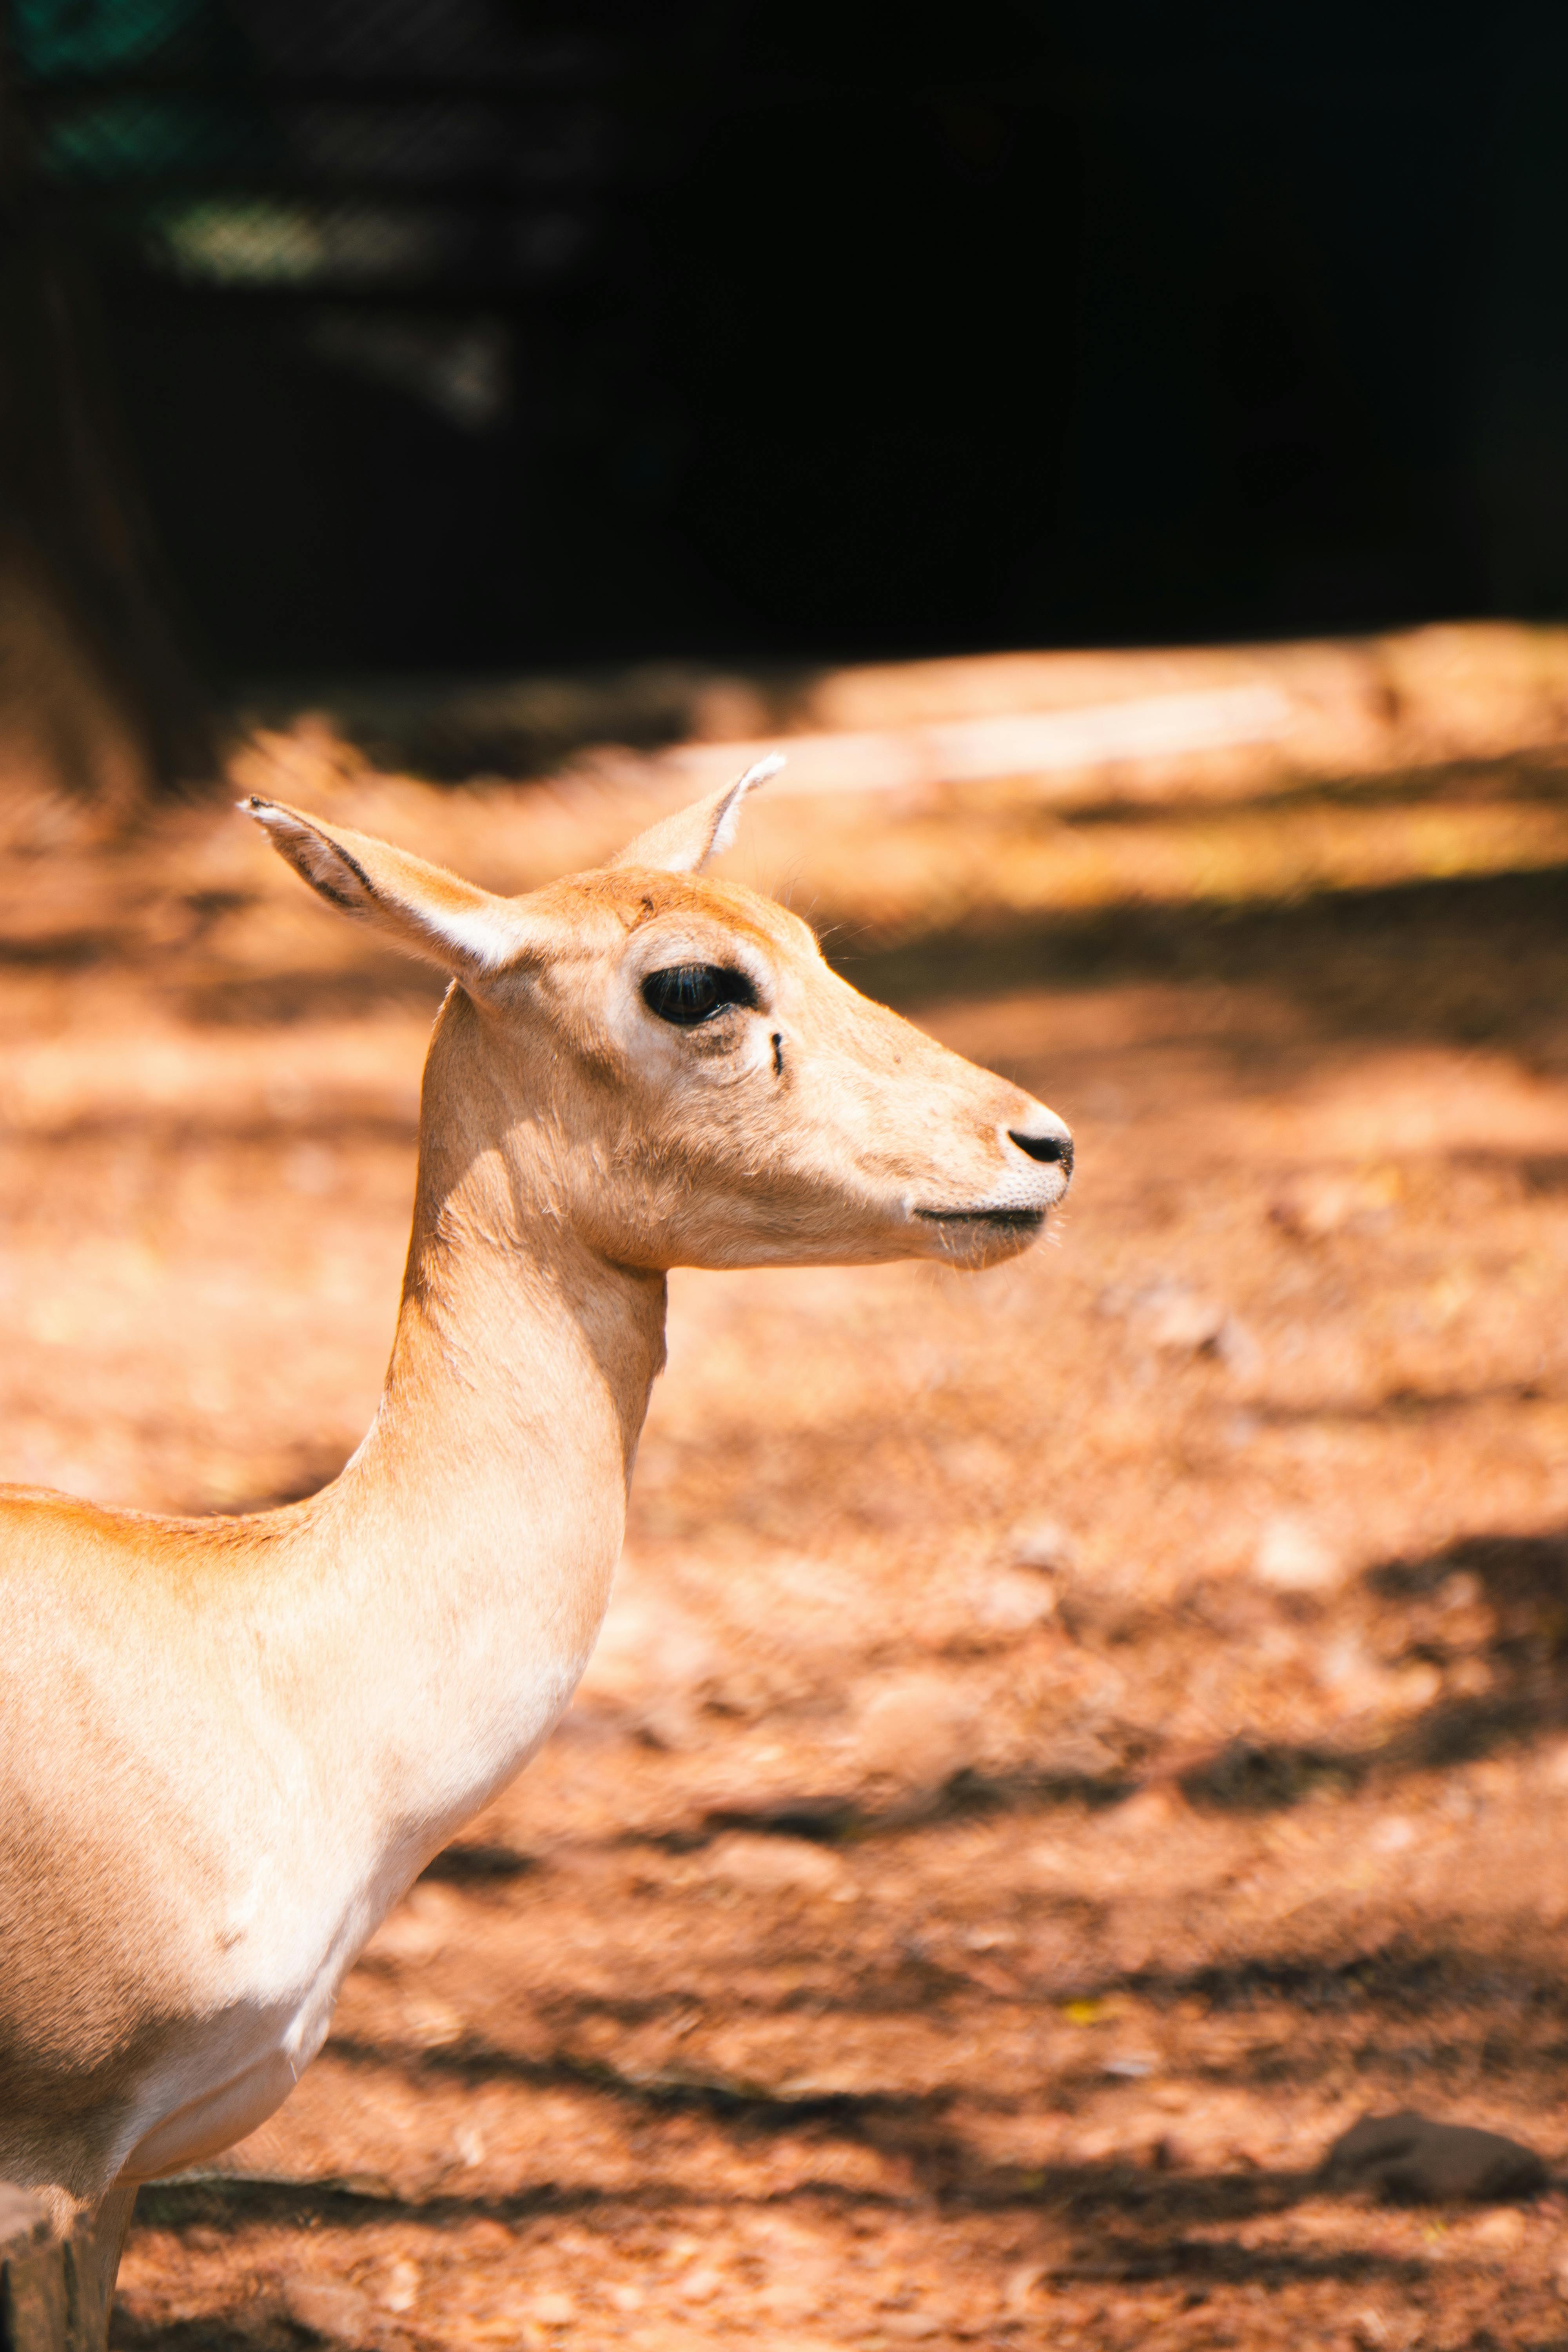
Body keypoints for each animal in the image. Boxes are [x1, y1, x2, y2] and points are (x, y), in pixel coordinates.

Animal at [0, 763, 1072, 2342]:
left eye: (810, 936)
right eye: (690, 981)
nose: (1038, 1145)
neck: (259, 1661)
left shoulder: (118, 2180)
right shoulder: (46, 2162)